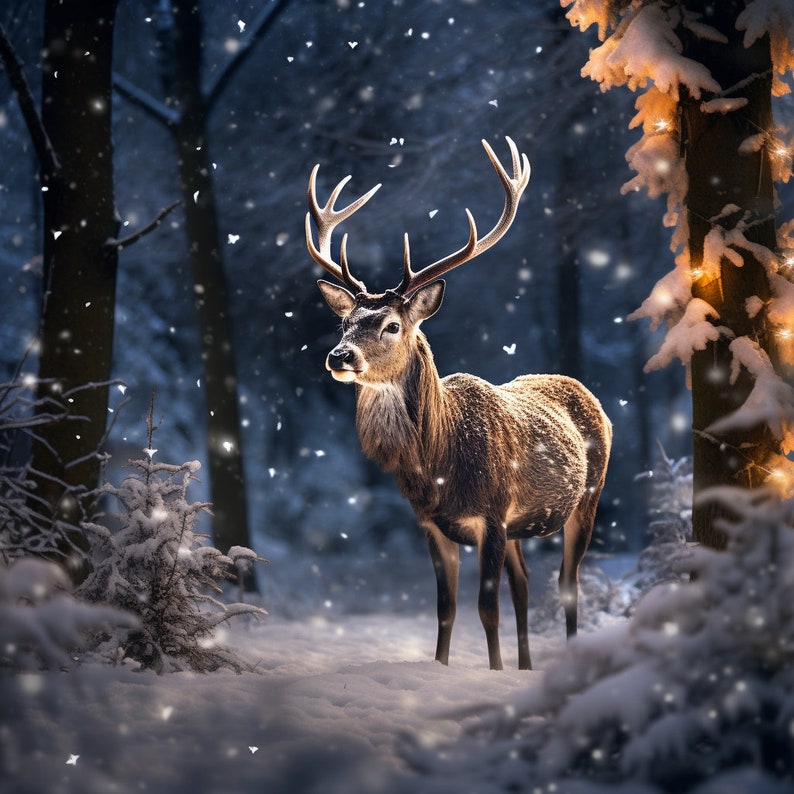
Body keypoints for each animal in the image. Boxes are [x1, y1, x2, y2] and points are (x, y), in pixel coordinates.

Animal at [306, 137, 612, 670]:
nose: (339, 356)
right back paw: (527, 666)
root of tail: (581, 387)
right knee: (525, 585)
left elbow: (486, 608)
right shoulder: (432, 524)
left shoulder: (491, 513)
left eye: (391, 325)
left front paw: (493, 671)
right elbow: (445, 608)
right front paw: (445, 667)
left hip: (587, 500)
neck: (437, 466)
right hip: (519, 527)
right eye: (345, 322)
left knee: (567, 584)